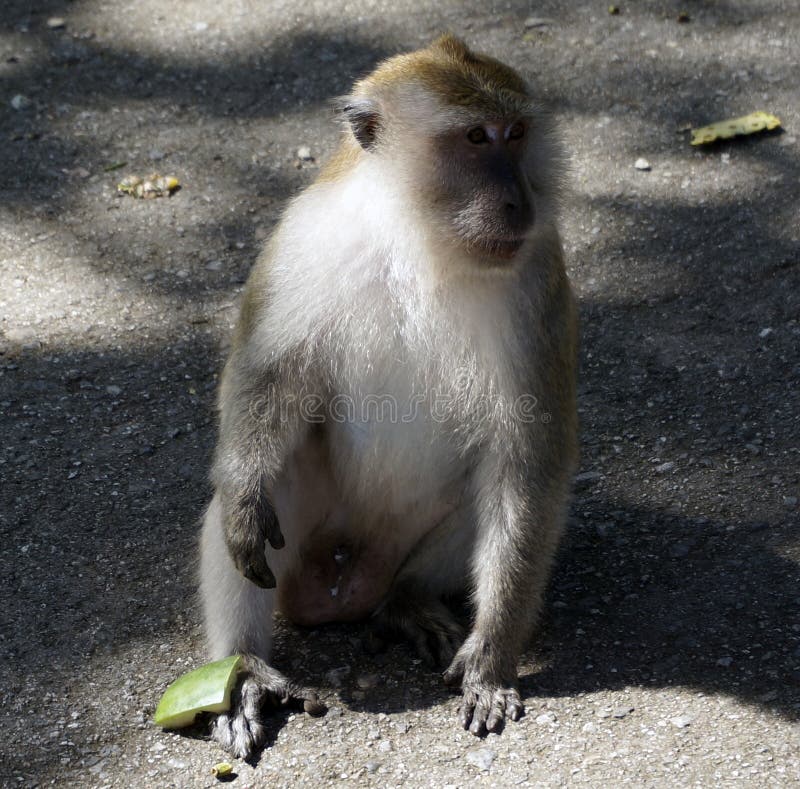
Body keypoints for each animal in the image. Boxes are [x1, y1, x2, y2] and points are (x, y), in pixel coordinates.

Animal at [199, 33, 578, 759]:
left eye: (516, 134)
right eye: (475, 137)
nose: (519, 202)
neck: (418, 234)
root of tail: (348, 581)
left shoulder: (538, 273)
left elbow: (528, 454)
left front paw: (493, 657)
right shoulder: (302, 236)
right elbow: (267, 375)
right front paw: (242, 498)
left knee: (486, 490)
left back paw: (406, 602)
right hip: (308, 546)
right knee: (273, 487)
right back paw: (246, 668)